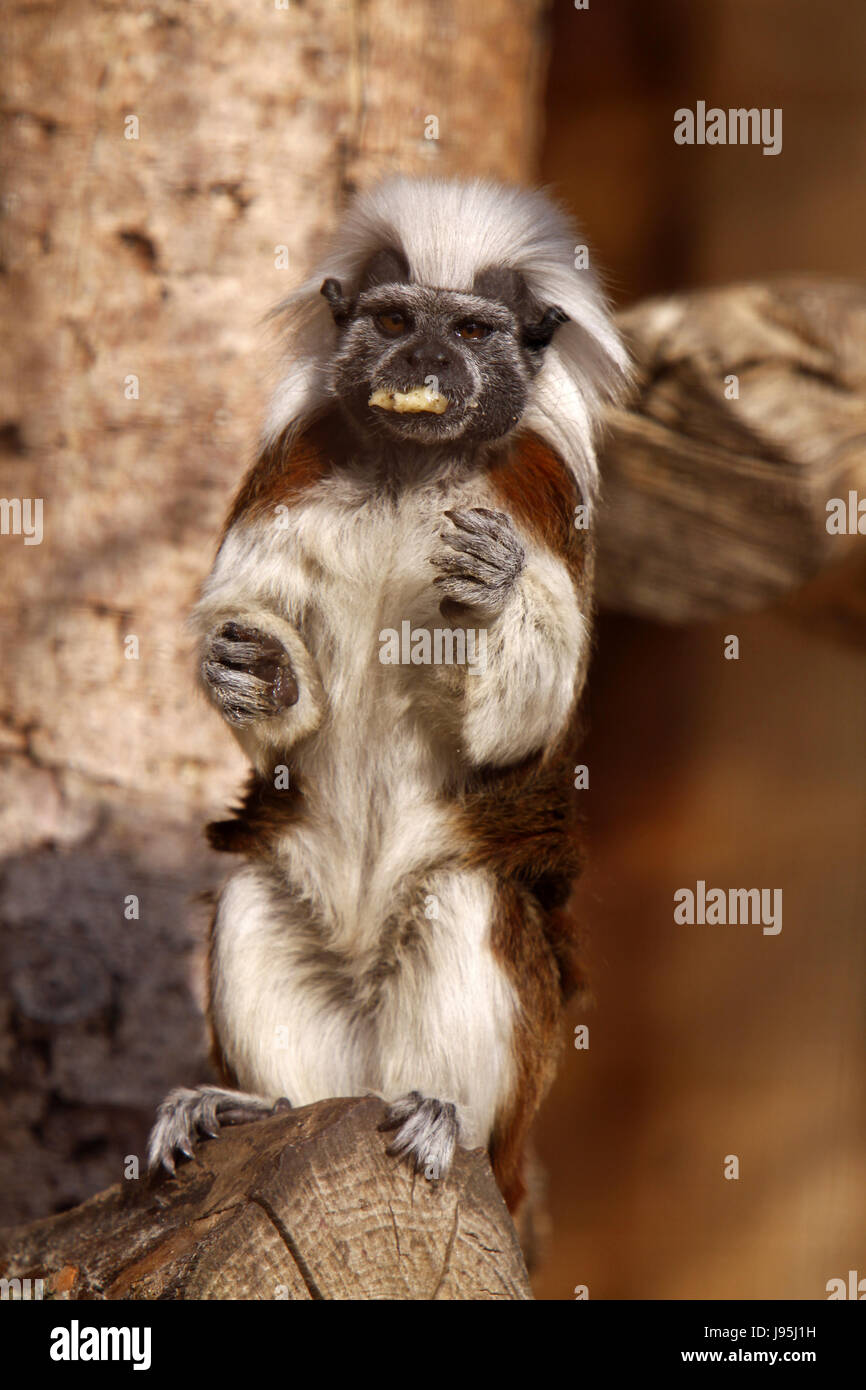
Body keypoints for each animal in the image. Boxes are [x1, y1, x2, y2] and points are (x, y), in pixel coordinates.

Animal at [147, 176, 629, 1218]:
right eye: (399, 321)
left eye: (474, 331)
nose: (426, 362)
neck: (412, 471)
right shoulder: (294, 472)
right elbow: (268, 675)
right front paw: (255, 675)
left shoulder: (534, 494)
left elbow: (525, 716)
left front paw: (487, 599)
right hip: (319, 998)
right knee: (254, 895)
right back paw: (251, 1104)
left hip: (497, 1081)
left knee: (471, 898)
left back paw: (444, 1115)